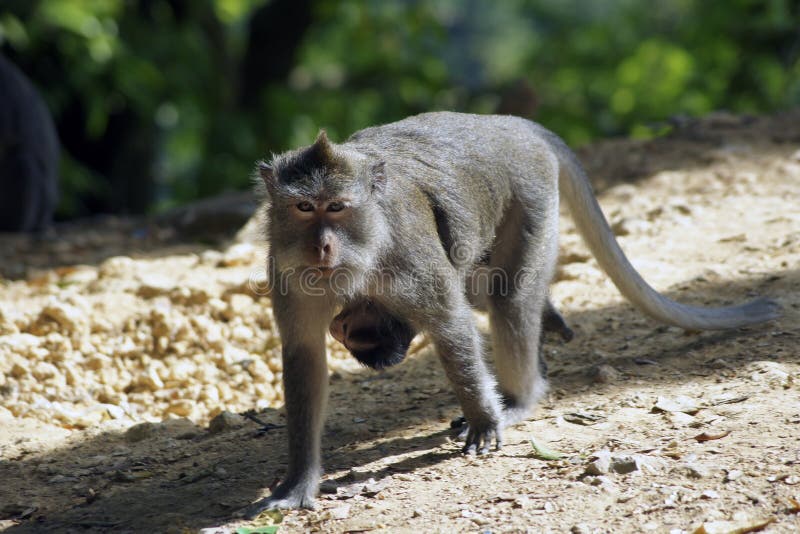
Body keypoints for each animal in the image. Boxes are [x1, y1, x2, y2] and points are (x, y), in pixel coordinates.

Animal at [240, 112, 778, 516]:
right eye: (304, 208)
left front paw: (484, 421)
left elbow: (450, 325)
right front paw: (298, 483)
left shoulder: (408, 256)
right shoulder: (287, 273)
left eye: (336, 207)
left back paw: (520, 397)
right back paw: (548, 321)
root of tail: (510, 124)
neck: (362, 257)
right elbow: (305, 356)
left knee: (508, 297)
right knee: (486, 289)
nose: (322, 246)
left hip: (530, 193)